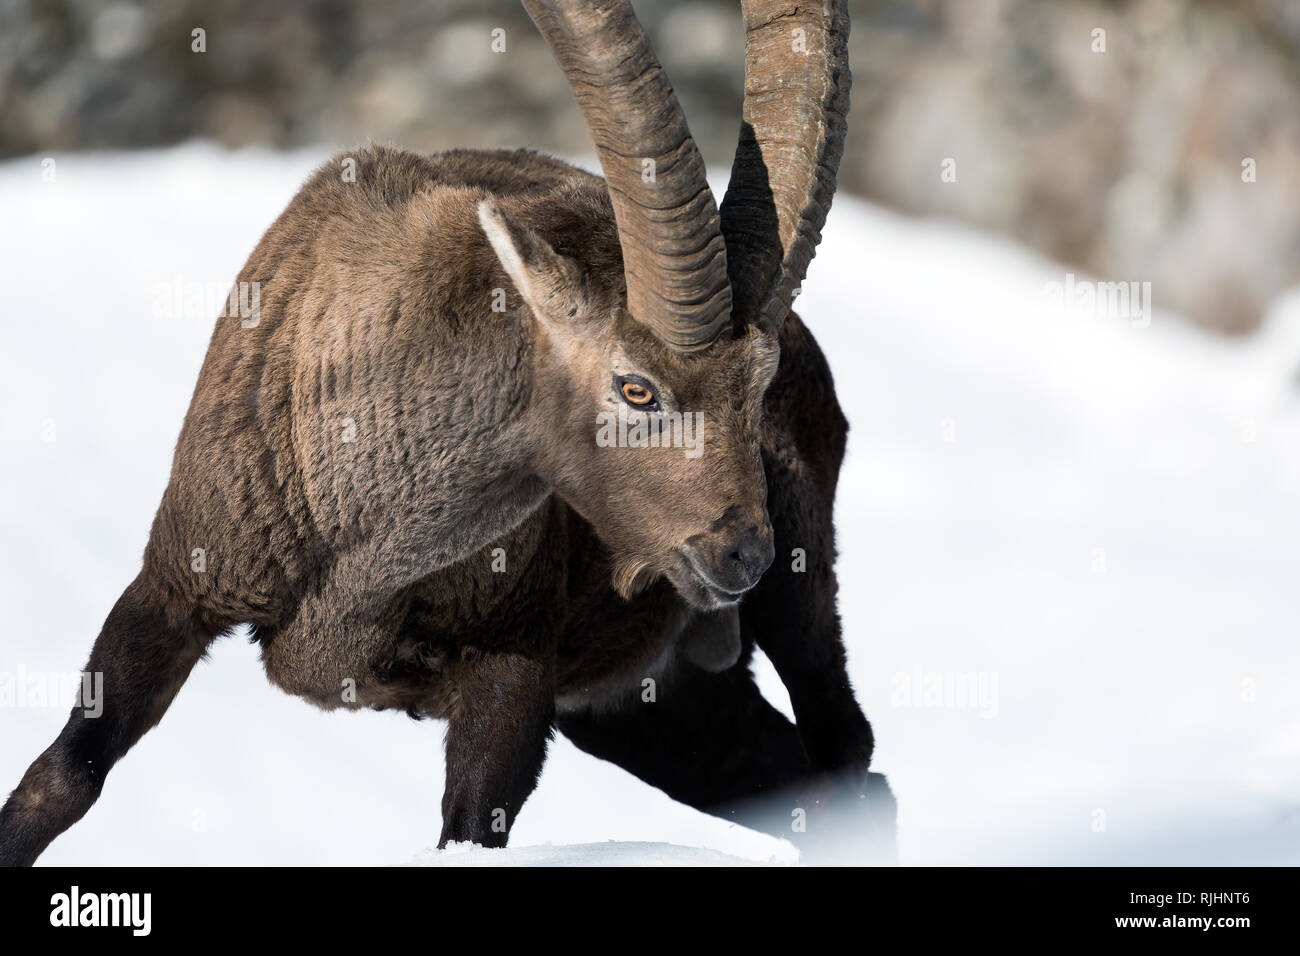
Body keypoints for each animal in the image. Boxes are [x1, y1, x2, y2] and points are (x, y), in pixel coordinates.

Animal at [0, 0, 889, 865]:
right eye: (636, 388)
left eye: (758, 385)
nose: (743, 553)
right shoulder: (177, 586)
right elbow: (62, 780)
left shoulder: (512, 655)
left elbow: (470, 824)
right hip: (645, 703)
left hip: (794, 596)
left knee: (847, 749)